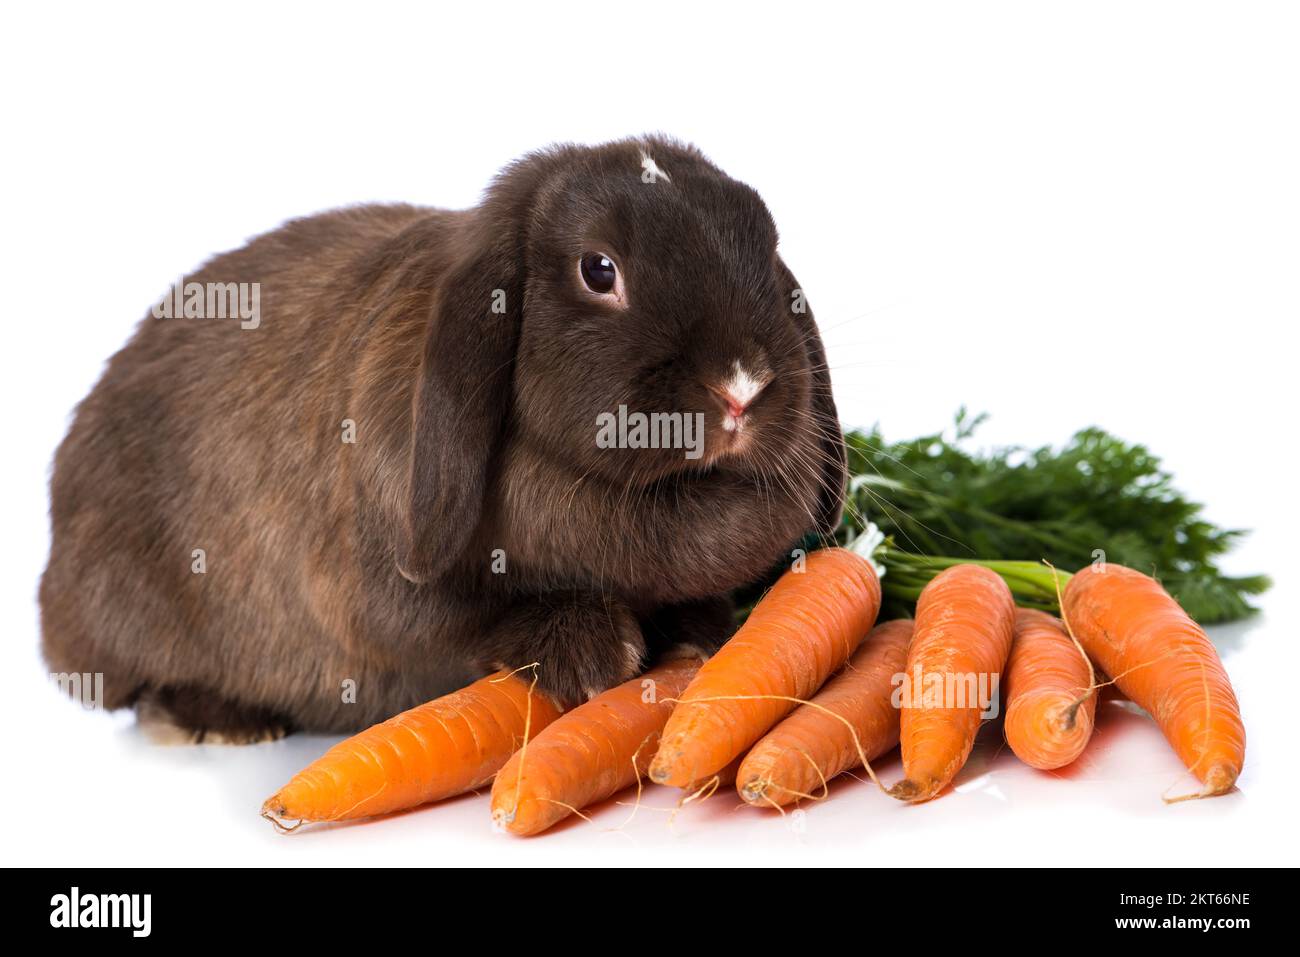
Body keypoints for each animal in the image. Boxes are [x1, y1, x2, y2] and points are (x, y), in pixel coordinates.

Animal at [39, 135, 847, 742]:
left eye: (769, 246)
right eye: (598, 269)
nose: (741, 386)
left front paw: (696, 636)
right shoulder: (390, 601)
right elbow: (462, 628)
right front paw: (590, 655)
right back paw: (221, 719)